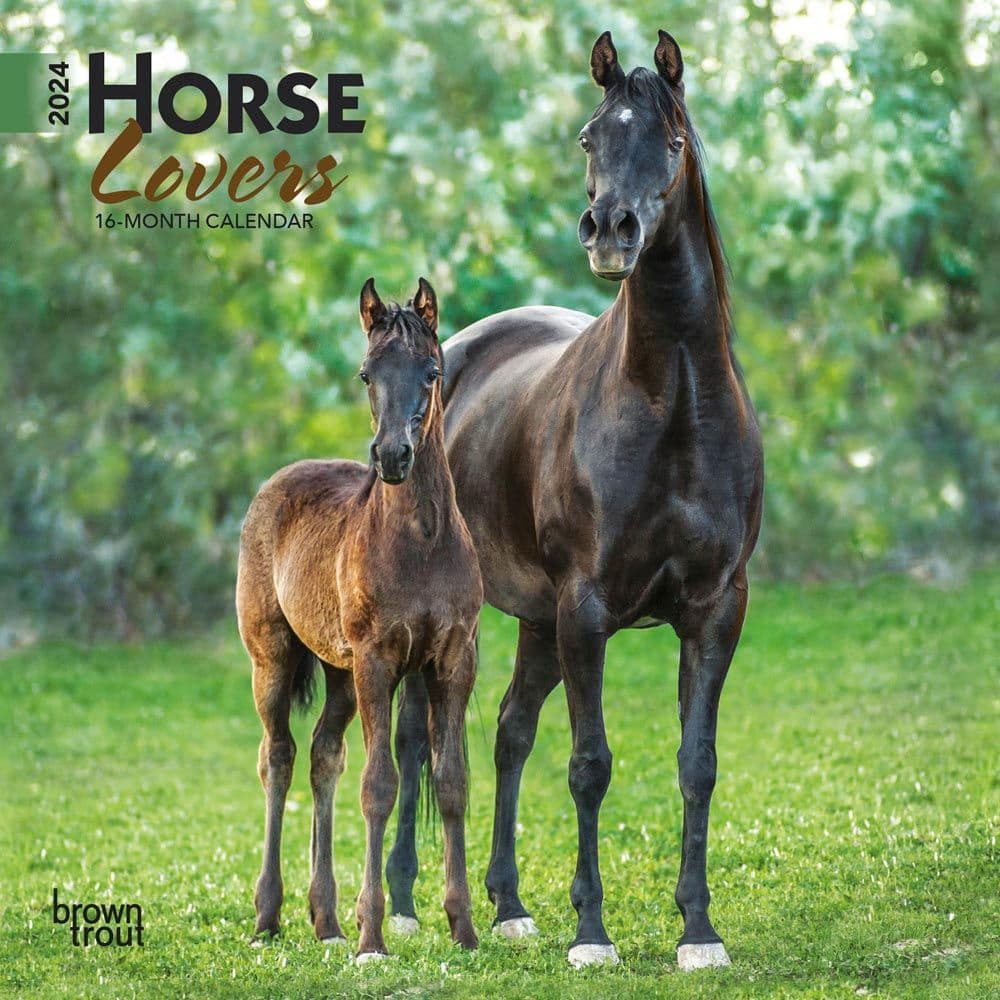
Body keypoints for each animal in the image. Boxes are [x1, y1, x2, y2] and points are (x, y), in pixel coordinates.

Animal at [236, 278, 482, 961]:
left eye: (432, 372)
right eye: (367, 373)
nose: (392, 456)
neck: (421, 542)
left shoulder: (454, 660)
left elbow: (451, 781)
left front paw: (464, 927)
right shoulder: (378, 662)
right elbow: (380, 786)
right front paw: (373, 935)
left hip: (339, 672)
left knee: (324, 757)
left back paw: (325, 919)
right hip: (272, 659)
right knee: (278, 756)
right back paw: (270, 915)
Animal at [387, 31, 763, 971]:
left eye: (671, 139)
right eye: (592, 136)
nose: (610, 230)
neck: (676, 407)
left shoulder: (716, 610)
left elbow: (696, 764)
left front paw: (698, 931)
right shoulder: (587, 610)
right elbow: (590, 764)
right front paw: (592, 933)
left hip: (534, 621)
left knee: (509, 732)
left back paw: (510, 906)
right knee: (415, 741)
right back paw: (404, 904)